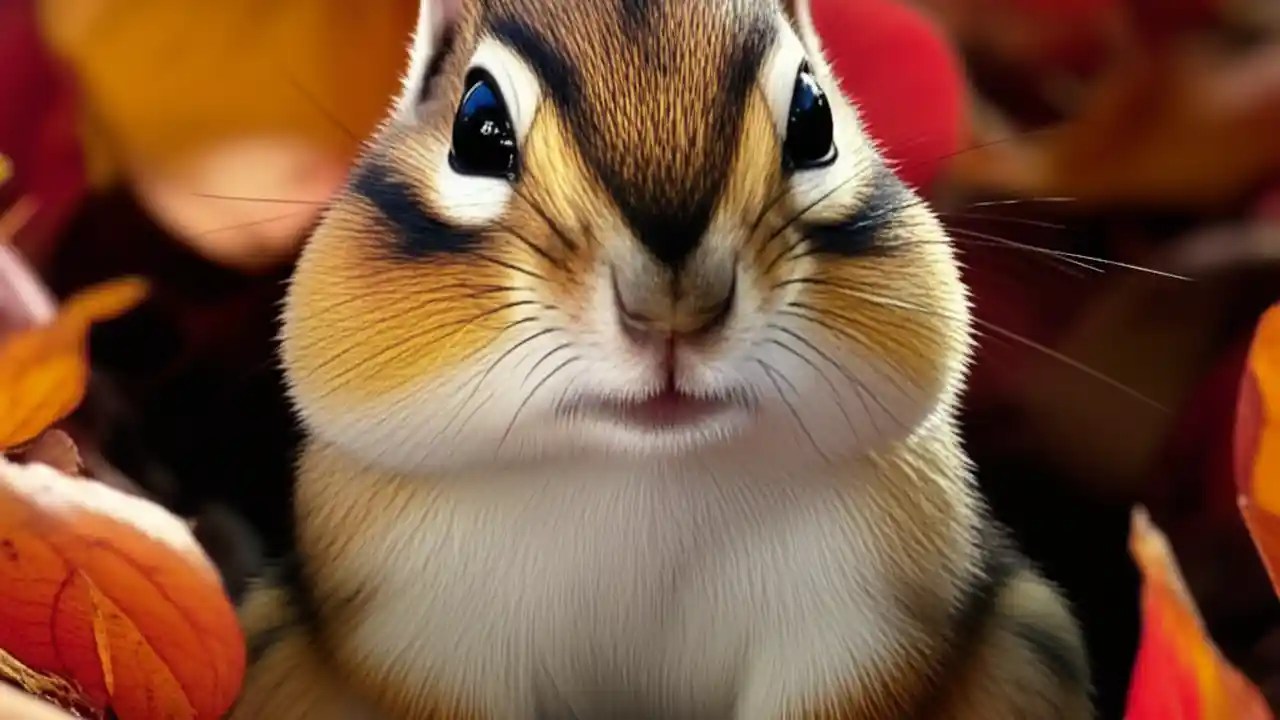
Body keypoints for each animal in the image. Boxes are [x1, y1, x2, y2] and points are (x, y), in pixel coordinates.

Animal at [229, 0, 1093, 717]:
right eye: (477, 126)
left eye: (814, 118)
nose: (674, 309)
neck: (645, 483)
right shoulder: (421, 633)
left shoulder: (858, 628)